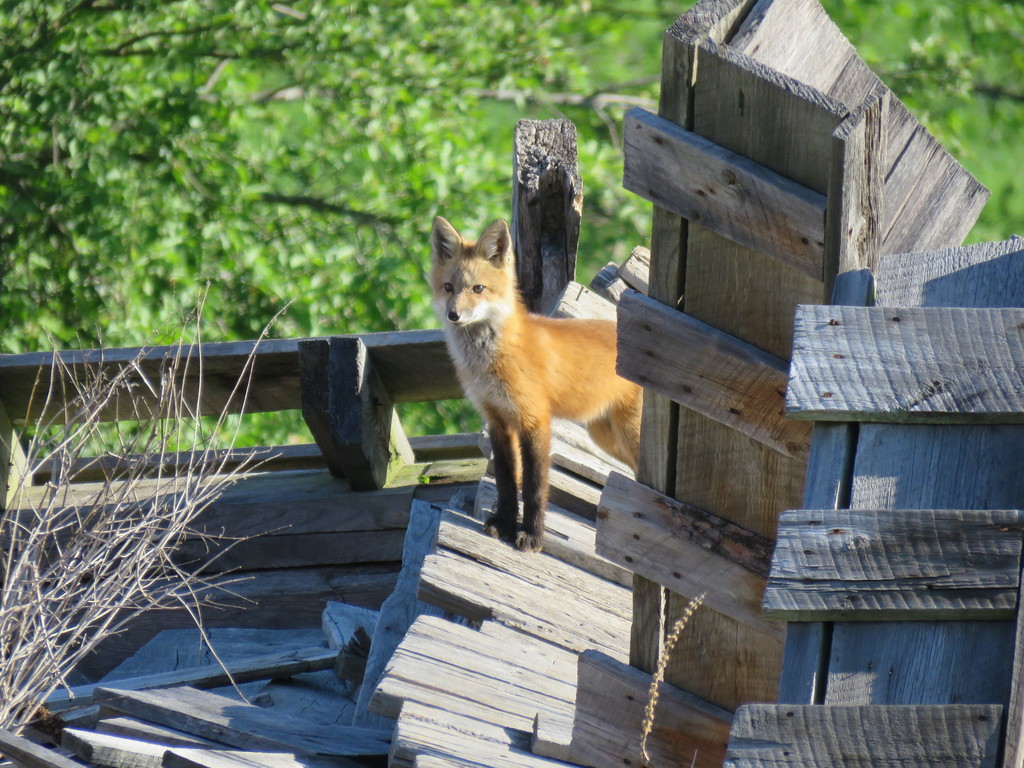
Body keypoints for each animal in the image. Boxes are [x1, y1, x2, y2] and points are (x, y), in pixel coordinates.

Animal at [430, 216, 642, 553]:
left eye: (478, 288)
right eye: (448, 287)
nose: (454, 315)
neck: (492, 359)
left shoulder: (534, 419)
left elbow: (533, 484)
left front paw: (531, 536)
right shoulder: (497, 419)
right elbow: (506, 479)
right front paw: (503, 524)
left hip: (629, 437)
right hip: (608, 439)